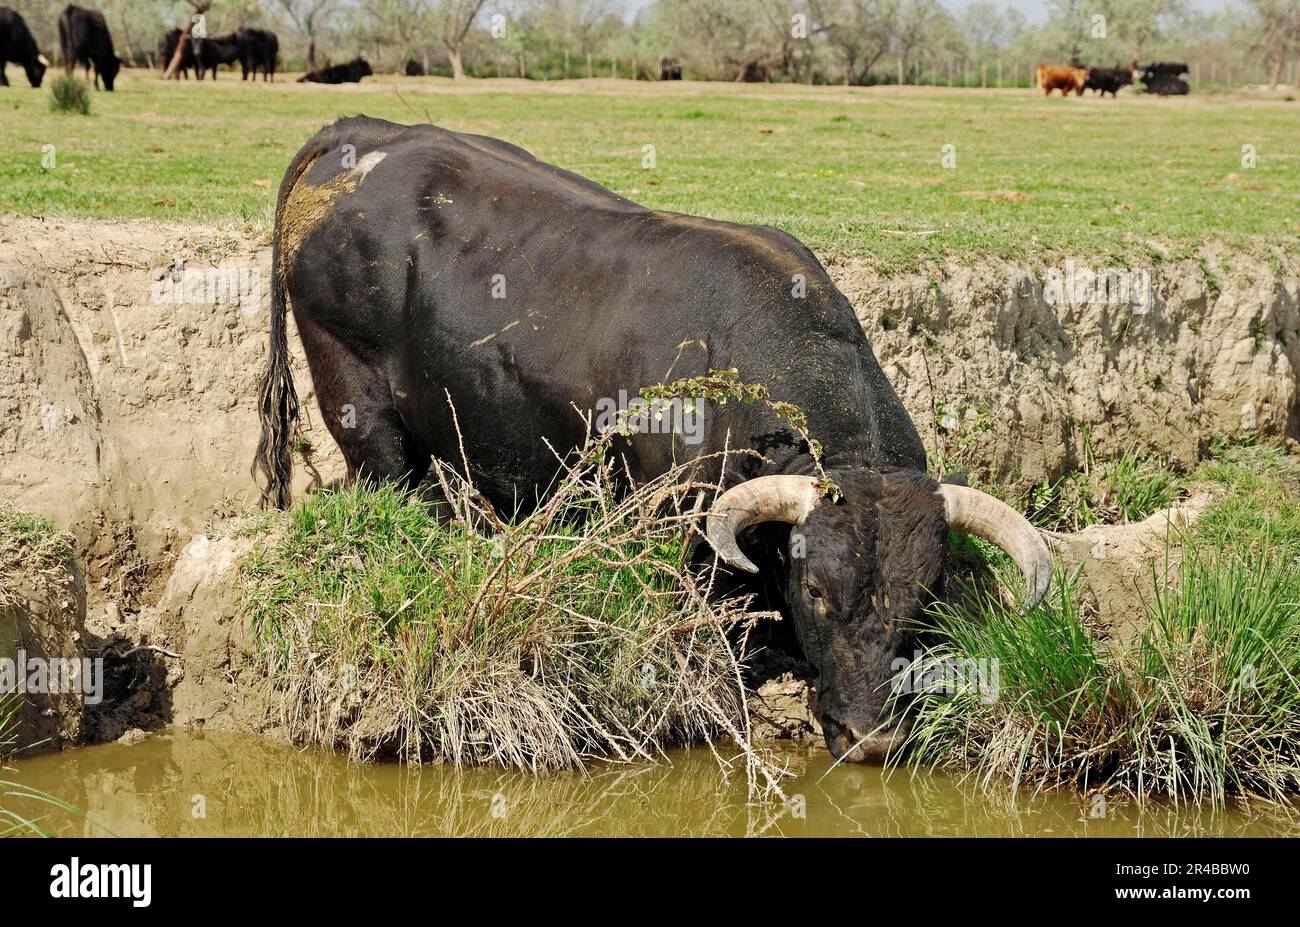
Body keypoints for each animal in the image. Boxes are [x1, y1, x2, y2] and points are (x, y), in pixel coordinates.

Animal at [254, 116, 1053, 764]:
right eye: (816, 592)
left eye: (923, 600)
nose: (872, 738)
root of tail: (366, 133)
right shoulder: (667, 519)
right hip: (356, 400)